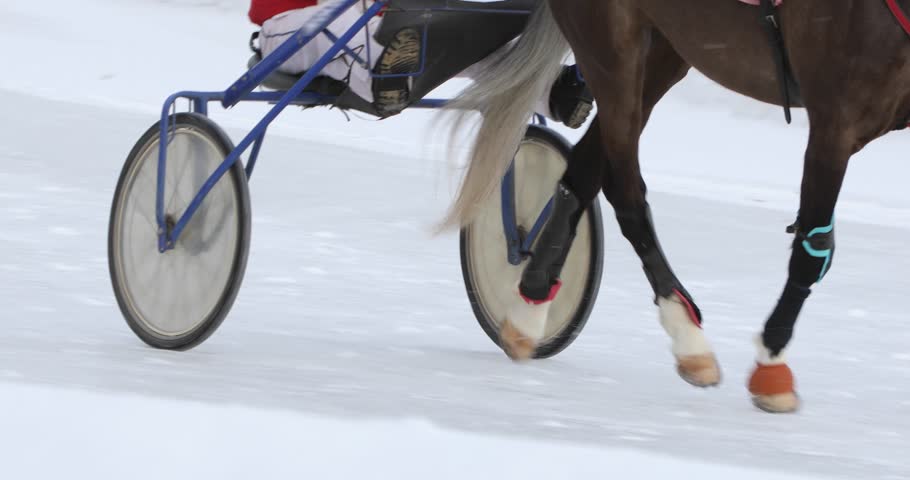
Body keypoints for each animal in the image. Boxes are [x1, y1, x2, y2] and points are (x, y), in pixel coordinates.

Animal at [438, 0, 910, 413]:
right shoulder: (834, 123)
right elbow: (814, 247)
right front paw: (772, 364)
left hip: (667, 49)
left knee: (583, 175)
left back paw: (529, 309)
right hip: (612, 49)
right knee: (623, 189)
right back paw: (687, 337)